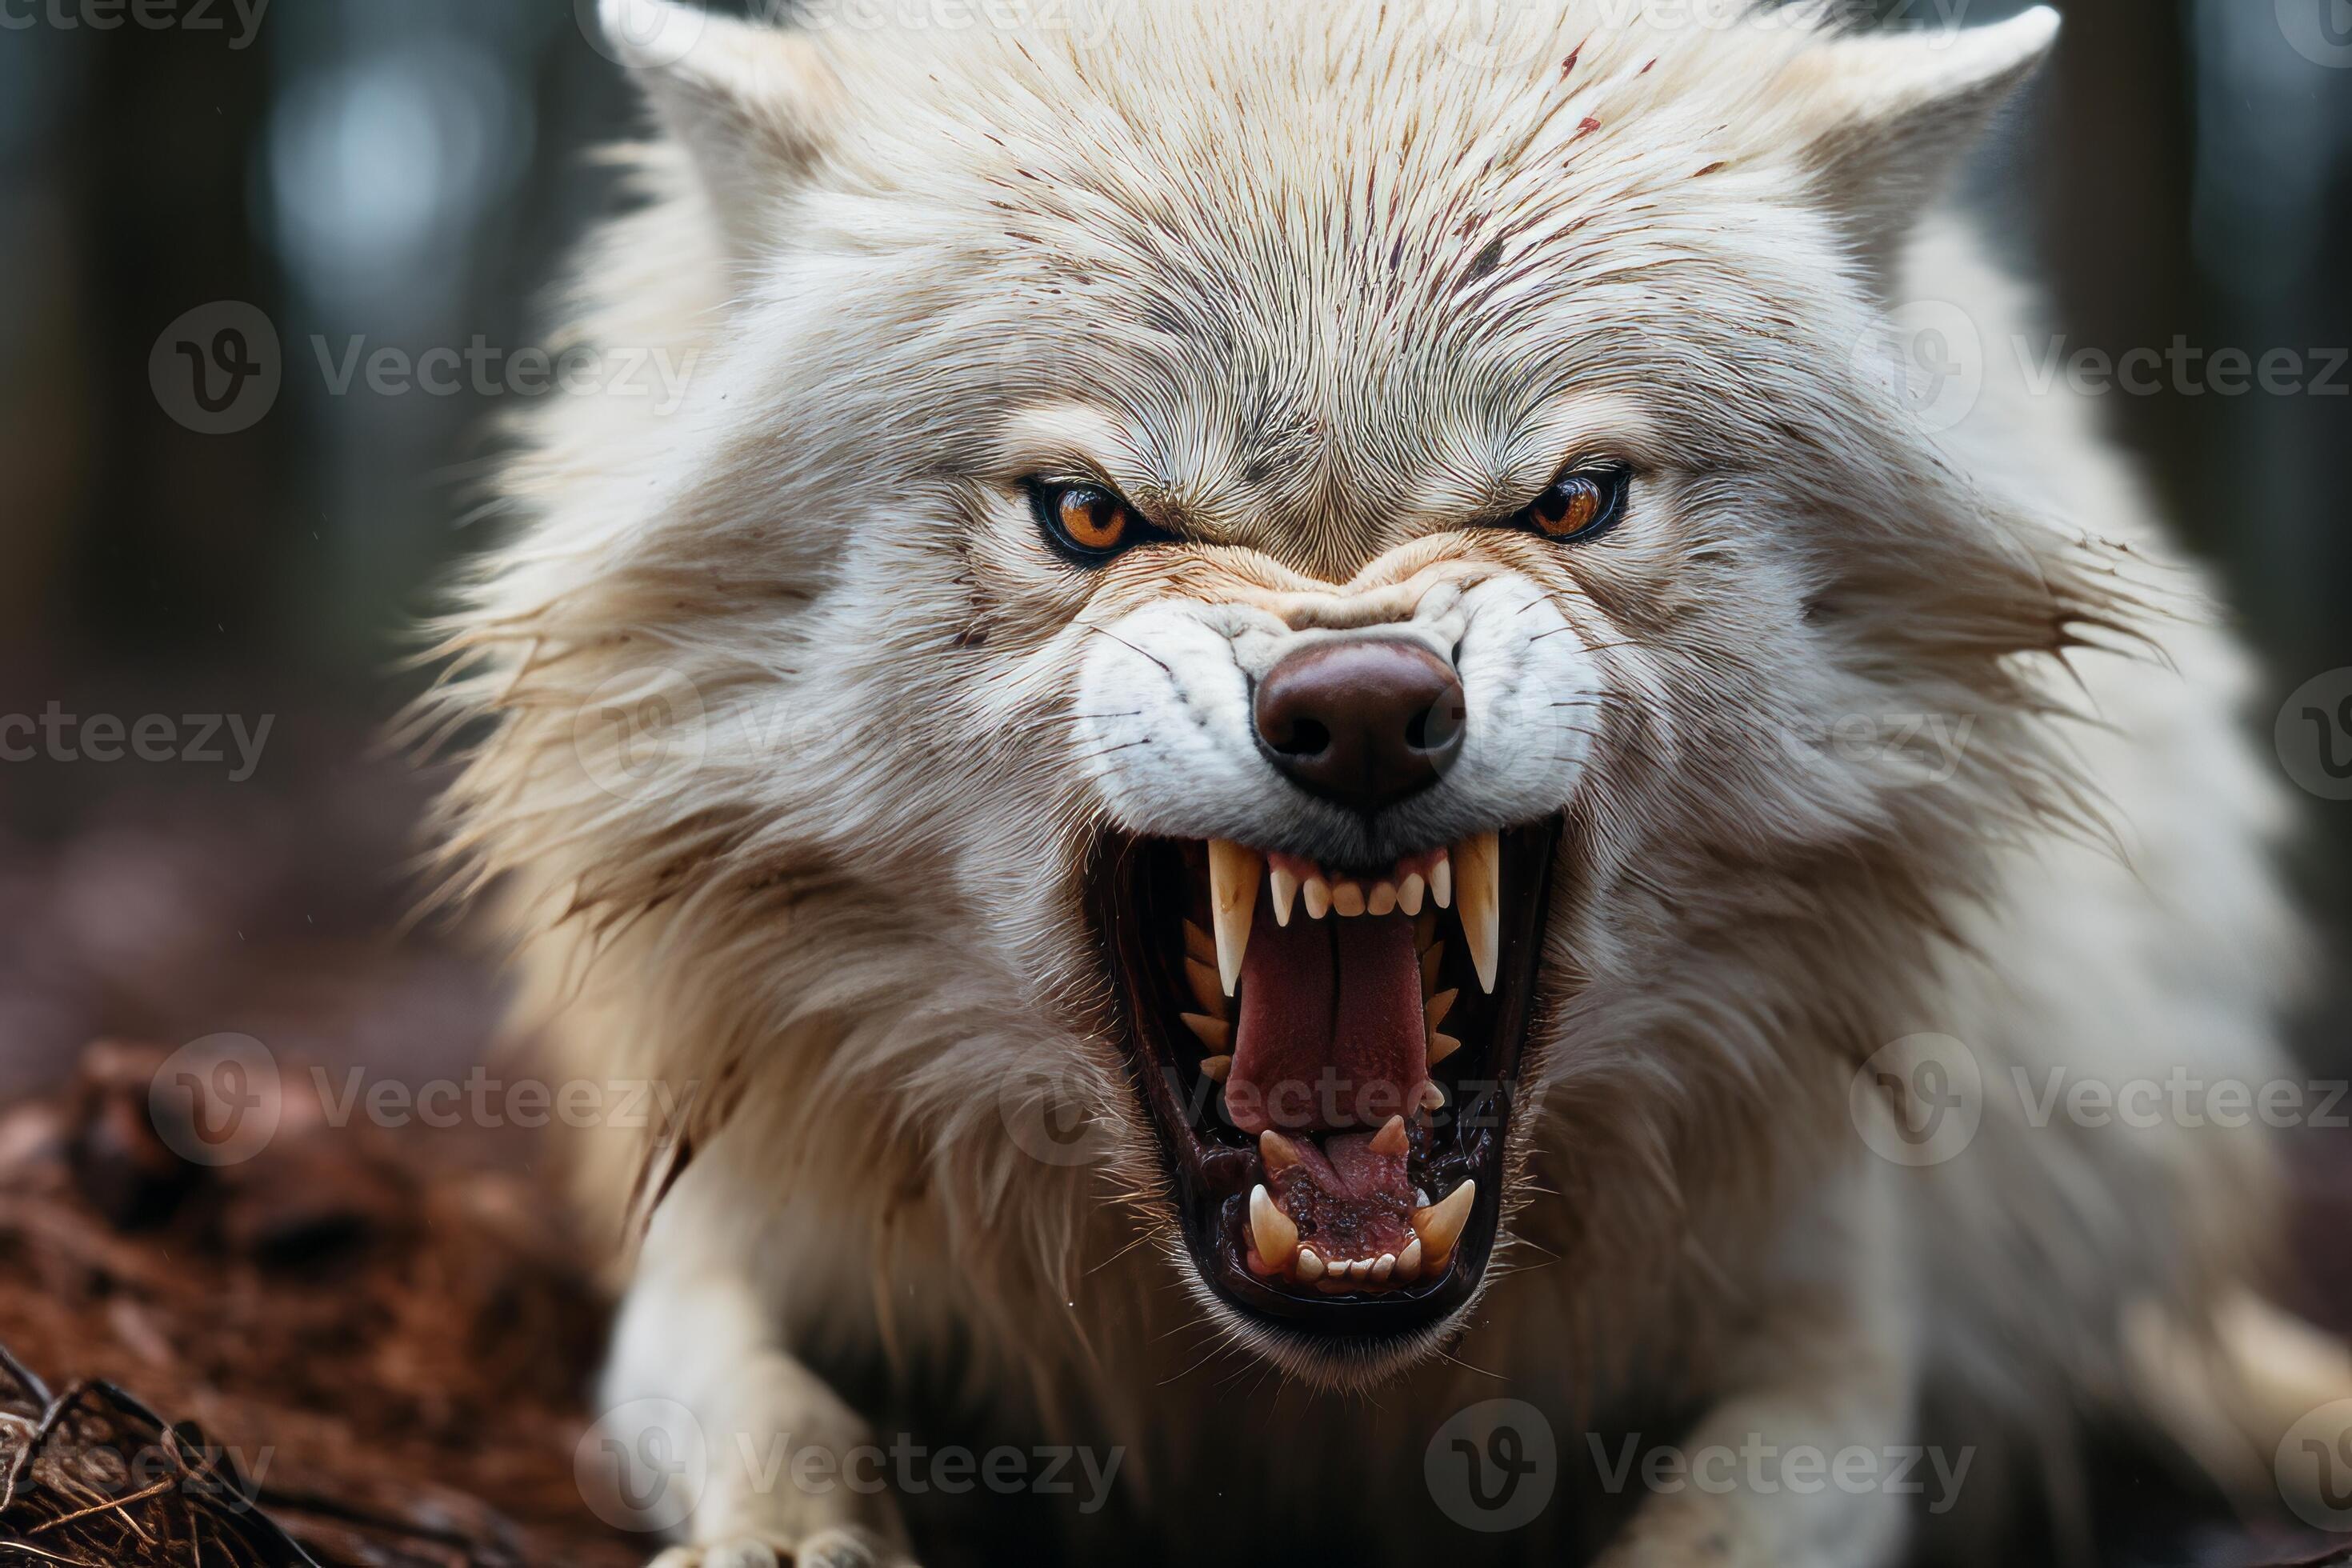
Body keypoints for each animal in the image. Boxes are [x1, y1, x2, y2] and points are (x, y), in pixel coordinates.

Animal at [422, 0, 2352, 1562]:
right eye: (1092, 516)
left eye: (1571, 500)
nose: (1360, 707)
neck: (1300, 1412)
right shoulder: (727, 1228)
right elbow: (765, 1412)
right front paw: (795, 1537)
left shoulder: (1838, 1322)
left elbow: (1748, 1512)